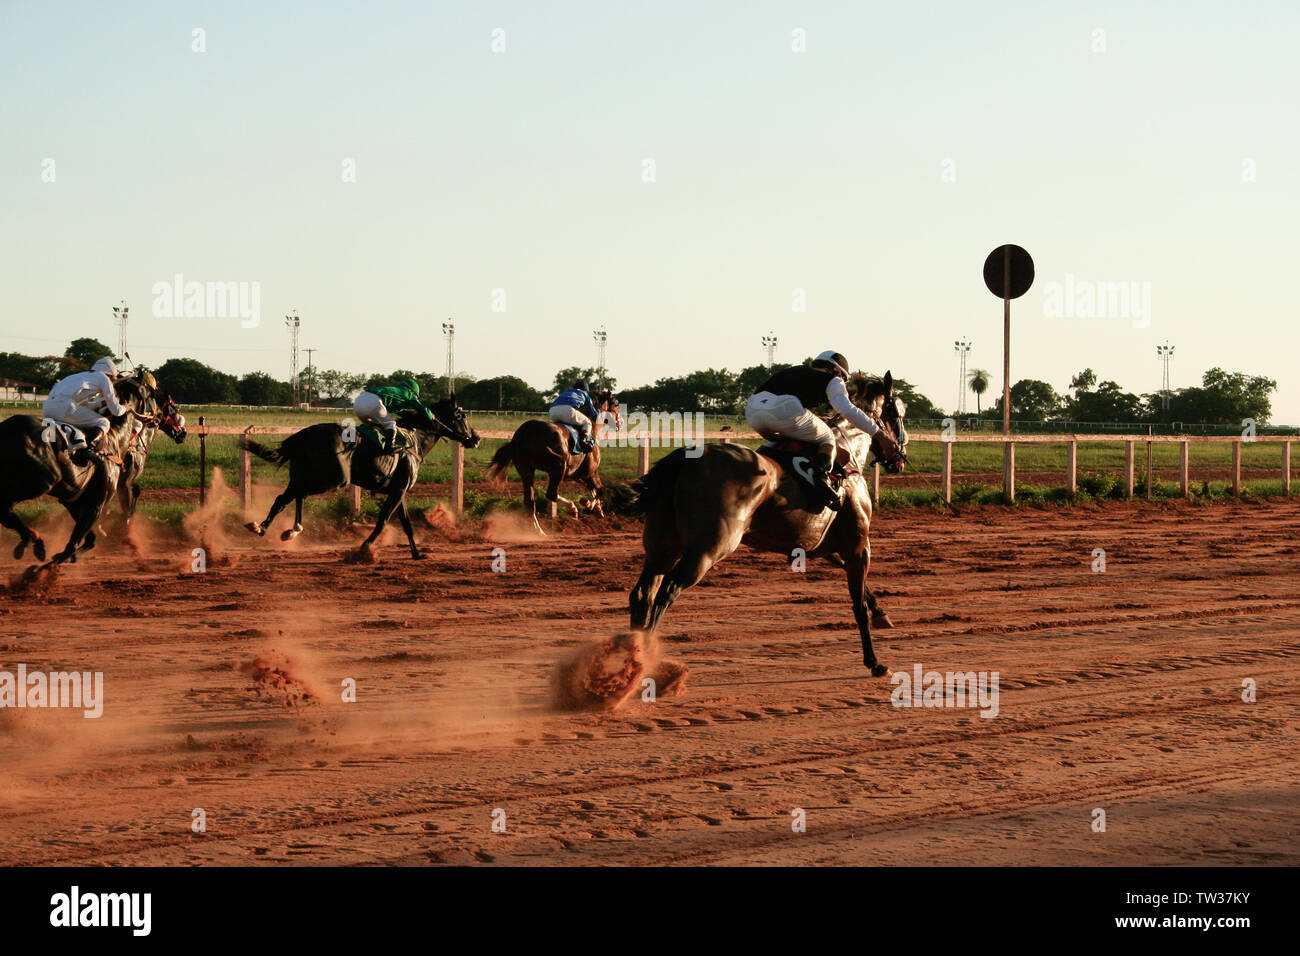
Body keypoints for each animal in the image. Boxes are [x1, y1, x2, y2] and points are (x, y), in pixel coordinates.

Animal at [0, 377, 180, 564]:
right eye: (172, 407)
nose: (182, 432)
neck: (118, 438)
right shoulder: (100, 500)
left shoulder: (75, 500)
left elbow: (88, 538)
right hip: (39, 482)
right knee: (4, 508)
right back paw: (34, 542)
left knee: (6, 511)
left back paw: (31, 540)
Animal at [240, 394, 480, 559]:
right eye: (463, 416)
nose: (476, 438)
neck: (415, 438)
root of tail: (305, 434)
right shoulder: (398, 490)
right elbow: (383, 520)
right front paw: (364, 548)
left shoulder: (398, 491)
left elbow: (406, 523)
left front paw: (417, 554)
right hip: (334, 479)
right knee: (297, 495)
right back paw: (286, 529)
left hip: (303, 475)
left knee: (285, 498)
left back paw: (270, 528)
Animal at [485, 390, 622, 534]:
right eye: (616, 405)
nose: (620, 423)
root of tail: (523, 434)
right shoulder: (590, 472)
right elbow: (600, 490)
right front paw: (587, 504)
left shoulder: (577, 475)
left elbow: (594, 490)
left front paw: (599, 510)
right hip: (559, 465)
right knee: (551, 493)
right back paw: (572, 509)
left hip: (527, 470)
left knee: (530, 501)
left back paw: (539, 531)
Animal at [627, 372, 908, 677]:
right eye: (898, 413)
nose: (900, 458)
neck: (847, 452)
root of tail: (685, 459)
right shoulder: (858, 546)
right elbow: (858, 605)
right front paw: (875, 662)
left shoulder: (823, 546)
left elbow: (860, 587)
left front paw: (881, 614)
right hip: (709, 548)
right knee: (667, 591)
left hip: (663, 546)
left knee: (642, 594)